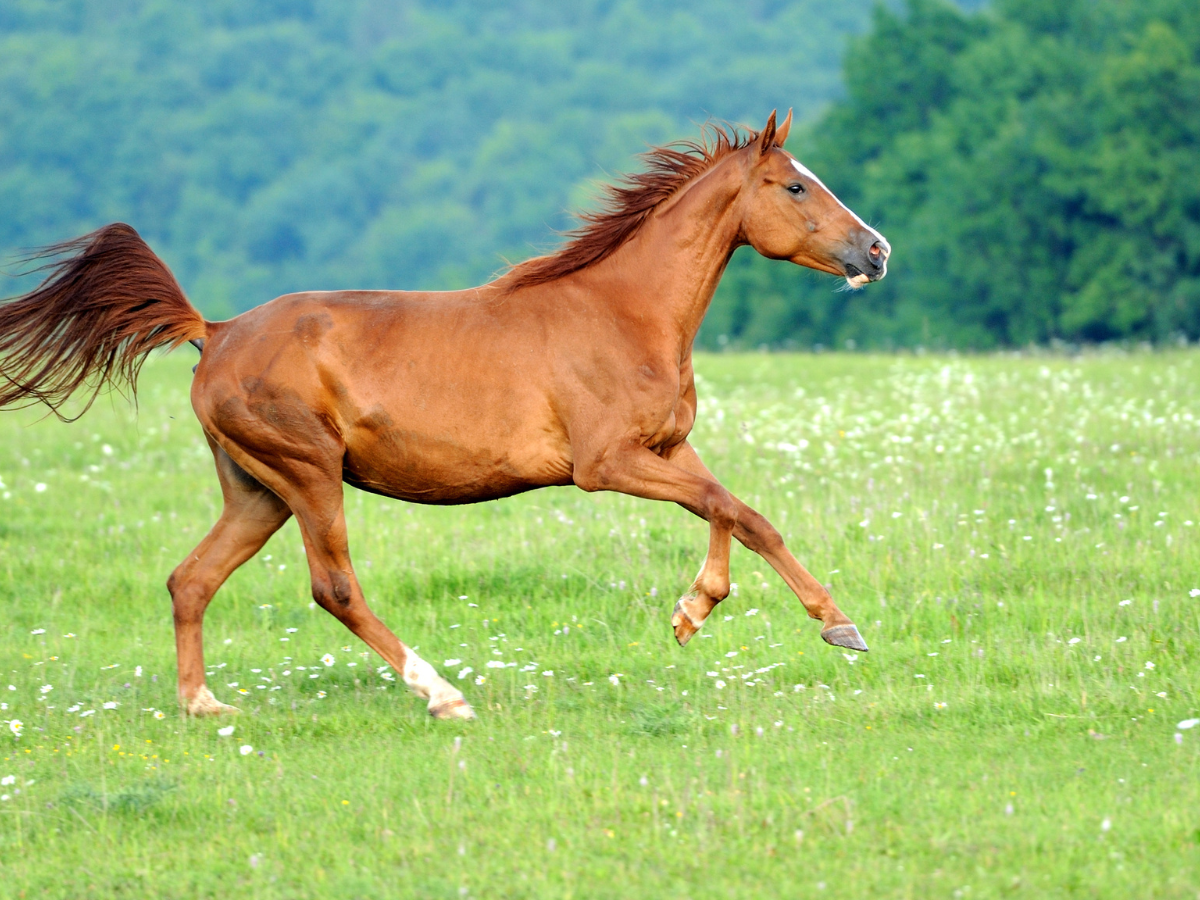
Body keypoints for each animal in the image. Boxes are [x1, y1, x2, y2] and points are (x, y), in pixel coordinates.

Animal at [0, 110, 889, 720]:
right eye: (795, 185)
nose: (876, 251)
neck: (623, 312)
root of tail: (213, 332)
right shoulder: (606, 465)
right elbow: (731, 508)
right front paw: (826, 627)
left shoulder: (668, 448)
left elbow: (737, 515)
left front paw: (708, 614)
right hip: (308, 474)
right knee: (334, 589)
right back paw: (442, 694)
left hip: (256, 491)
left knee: (191, 579)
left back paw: (203, 705)